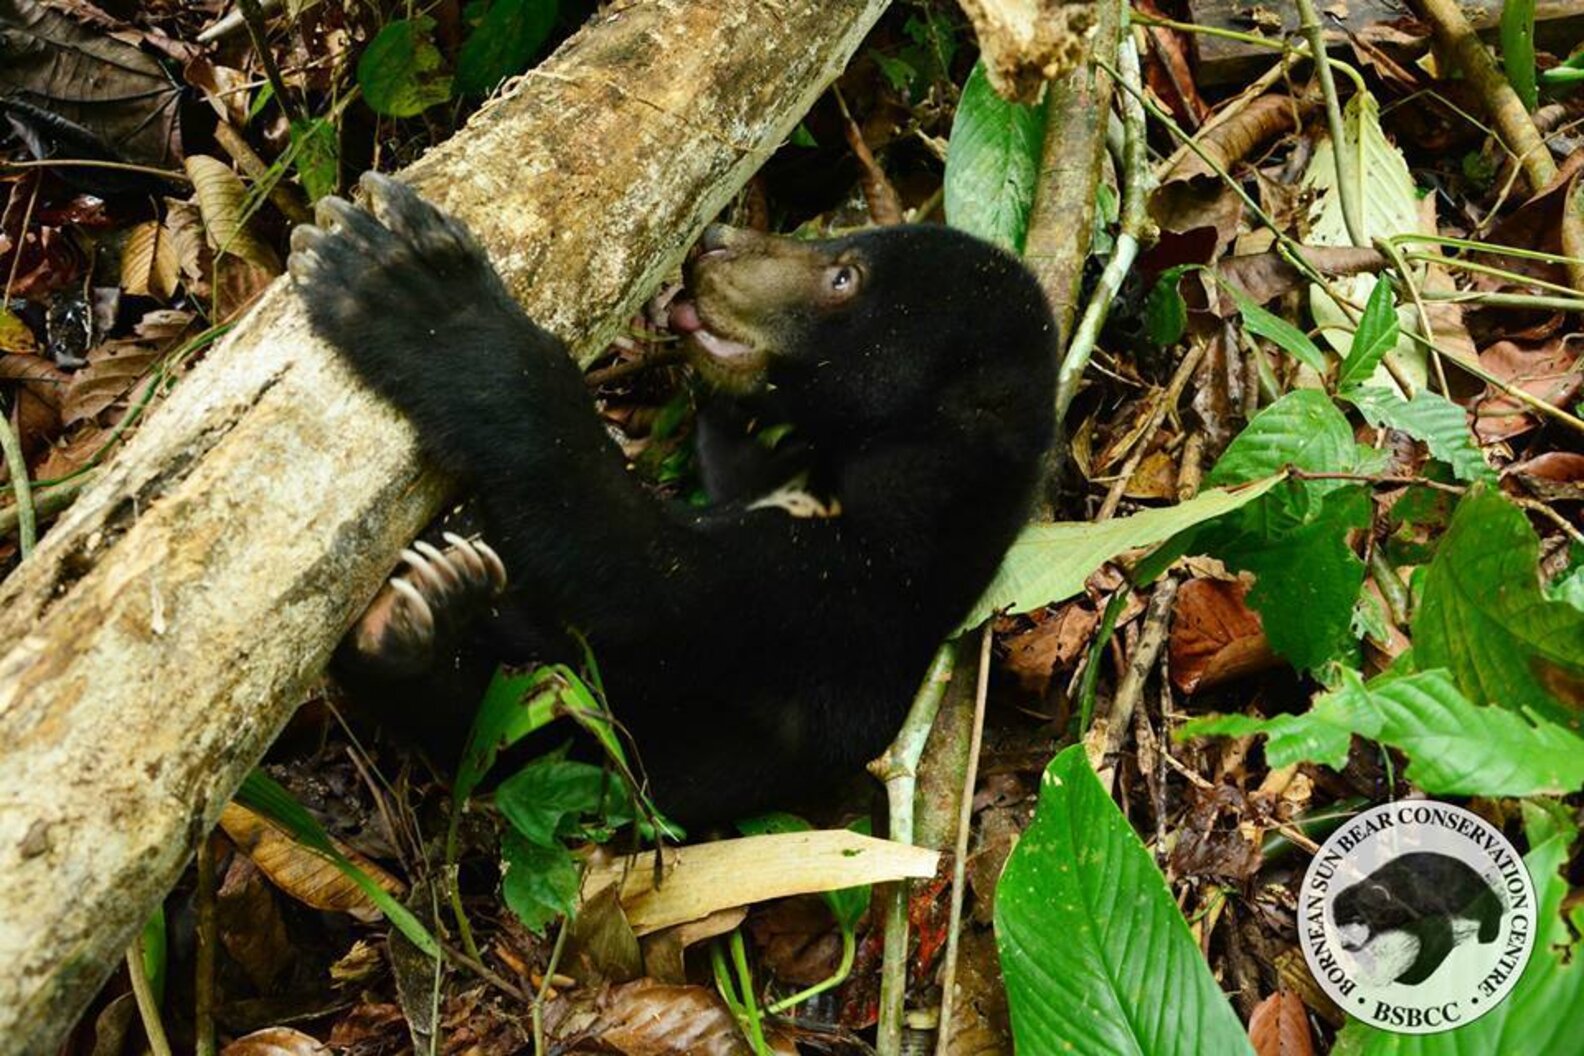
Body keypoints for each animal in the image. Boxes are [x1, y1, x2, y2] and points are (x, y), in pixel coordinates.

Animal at [287, 172, 1055, 825]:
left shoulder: (832, 602)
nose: (715, 238)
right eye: (842, 236)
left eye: (843, 278)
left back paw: (417, 613)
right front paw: (729, 416)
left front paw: (413, 287)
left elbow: (632, 582)